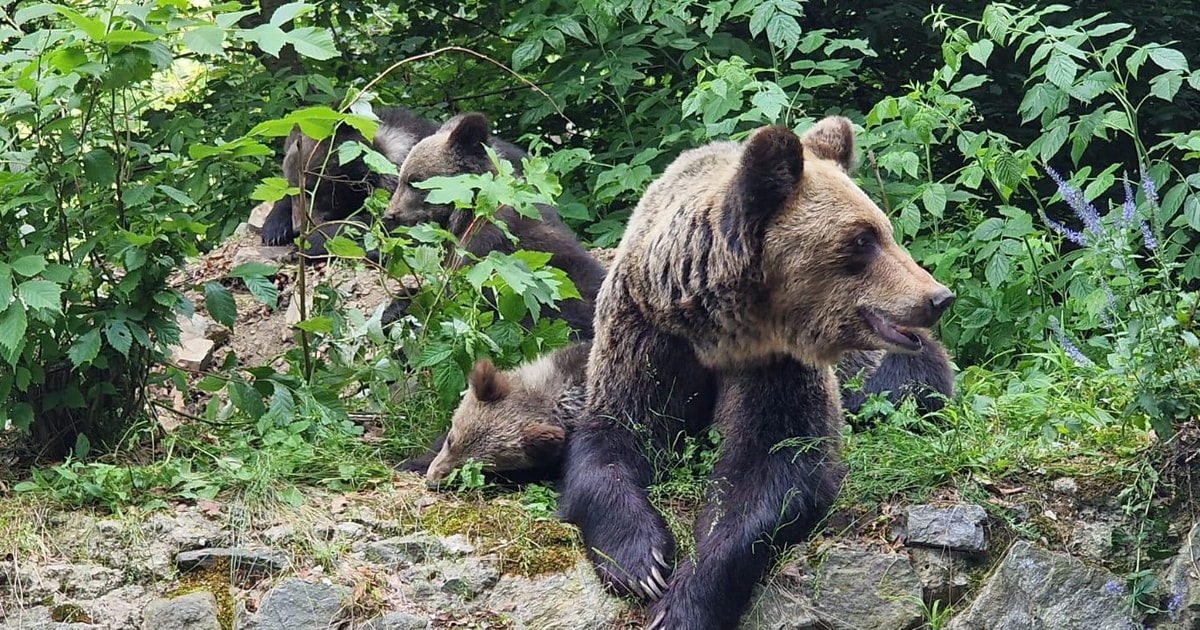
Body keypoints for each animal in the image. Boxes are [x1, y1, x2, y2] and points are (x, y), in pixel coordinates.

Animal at [556, 116, 954, 629]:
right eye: (863, 239)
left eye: (883, 231)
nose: (937, 297)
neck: (717, 329)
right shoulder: (648, 330)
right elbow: (614, 437)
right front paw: (642, 563)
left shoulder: (776, 363)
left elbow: (776, 467)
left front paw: (683, 605)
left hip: (878, 365)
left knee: (911, 380)